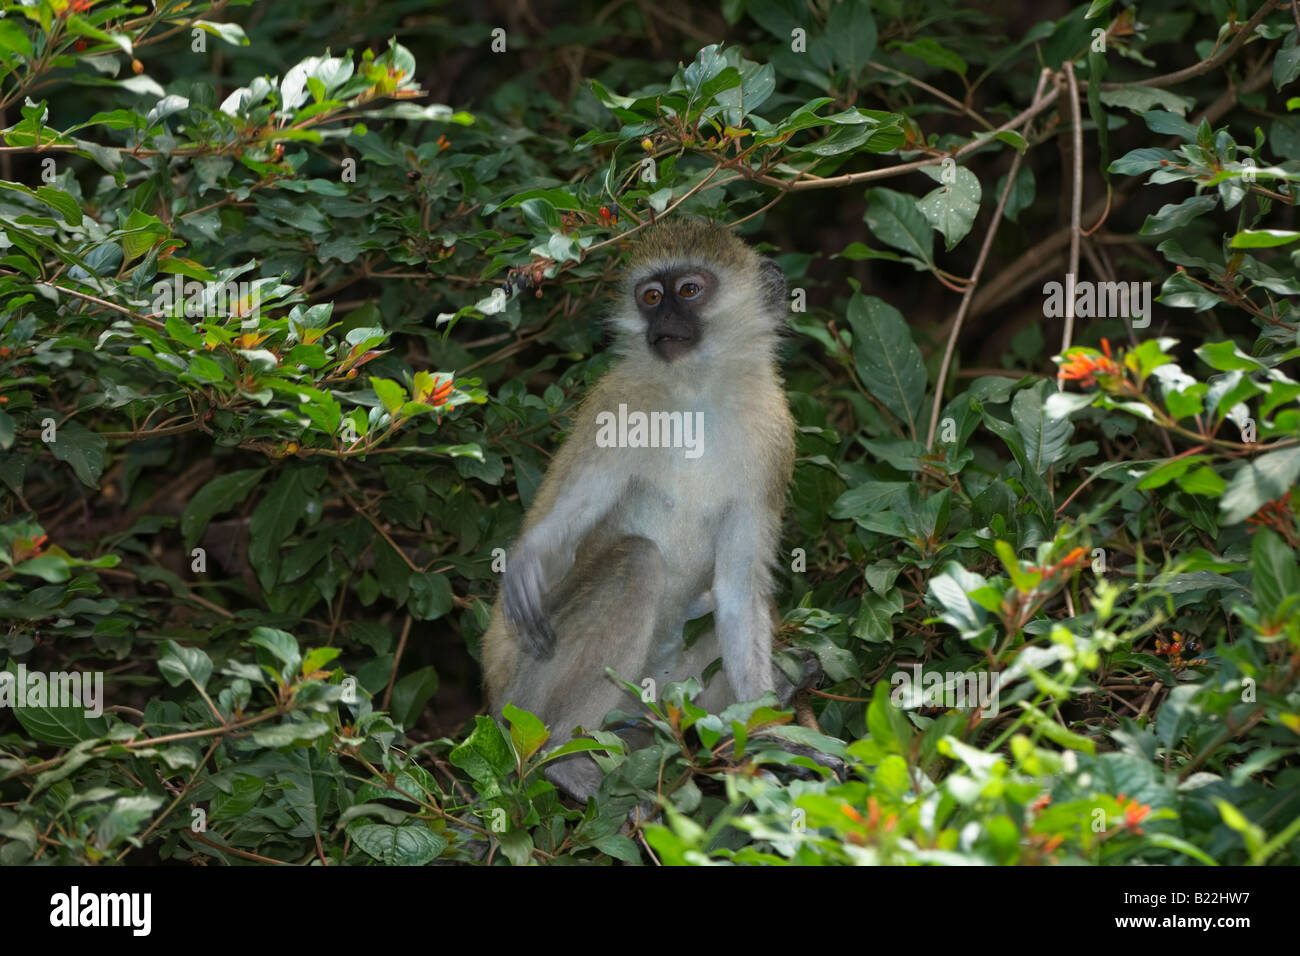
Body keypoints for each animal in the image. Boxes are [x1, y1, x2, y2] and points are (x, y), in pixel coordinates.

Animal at [481, 219, 801, 801]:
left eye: (689, 290)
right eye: (651, 297)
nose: (664, 322)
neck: (696, 394)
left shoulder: (774, 438)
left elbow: (739, 596)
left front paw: (771, 743)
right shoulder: (619, 408)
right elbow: (558, 540)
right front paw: (528, 562)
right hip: (523, 698)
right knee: (636, 562)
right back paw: (561, 759)